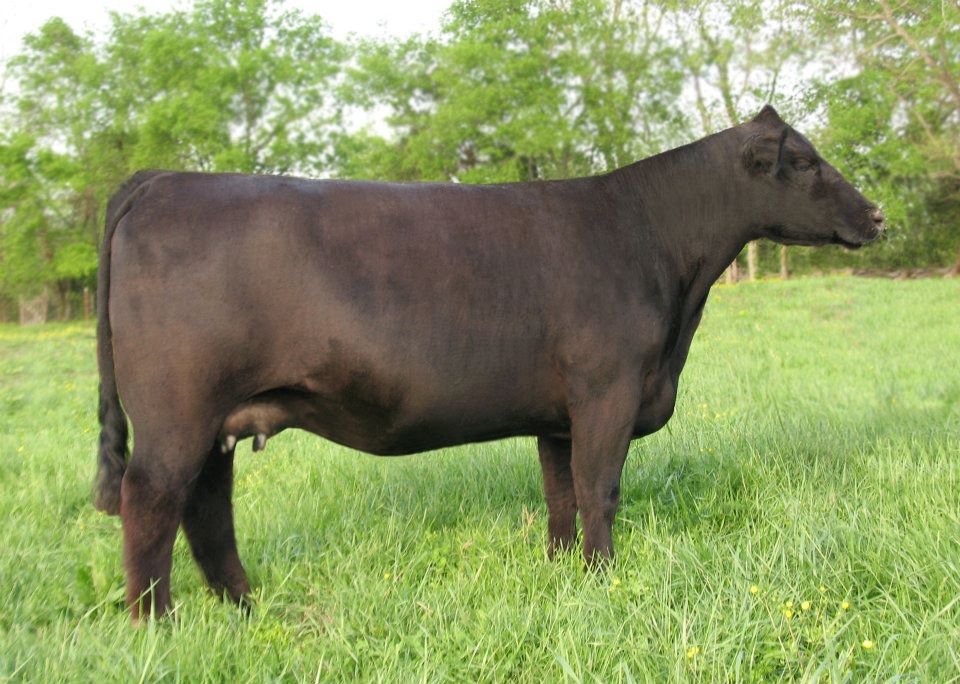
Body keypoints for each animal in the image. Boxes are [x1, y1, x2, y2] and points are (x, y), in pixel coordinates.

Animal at [93, 105, 883, 620]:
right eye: (804, 162)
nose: (876, 216)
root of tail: (165, 179)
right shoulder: (609, 391)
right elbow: (599, 490)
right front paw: (605, 579)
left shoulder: (558, 414)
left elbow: (560, 494)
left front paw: (566, 574)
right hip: (176, 411)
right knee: (152, 502)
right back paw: (157, 623)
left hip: (215, 420)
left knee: (206, 507)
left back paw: (243, 607)